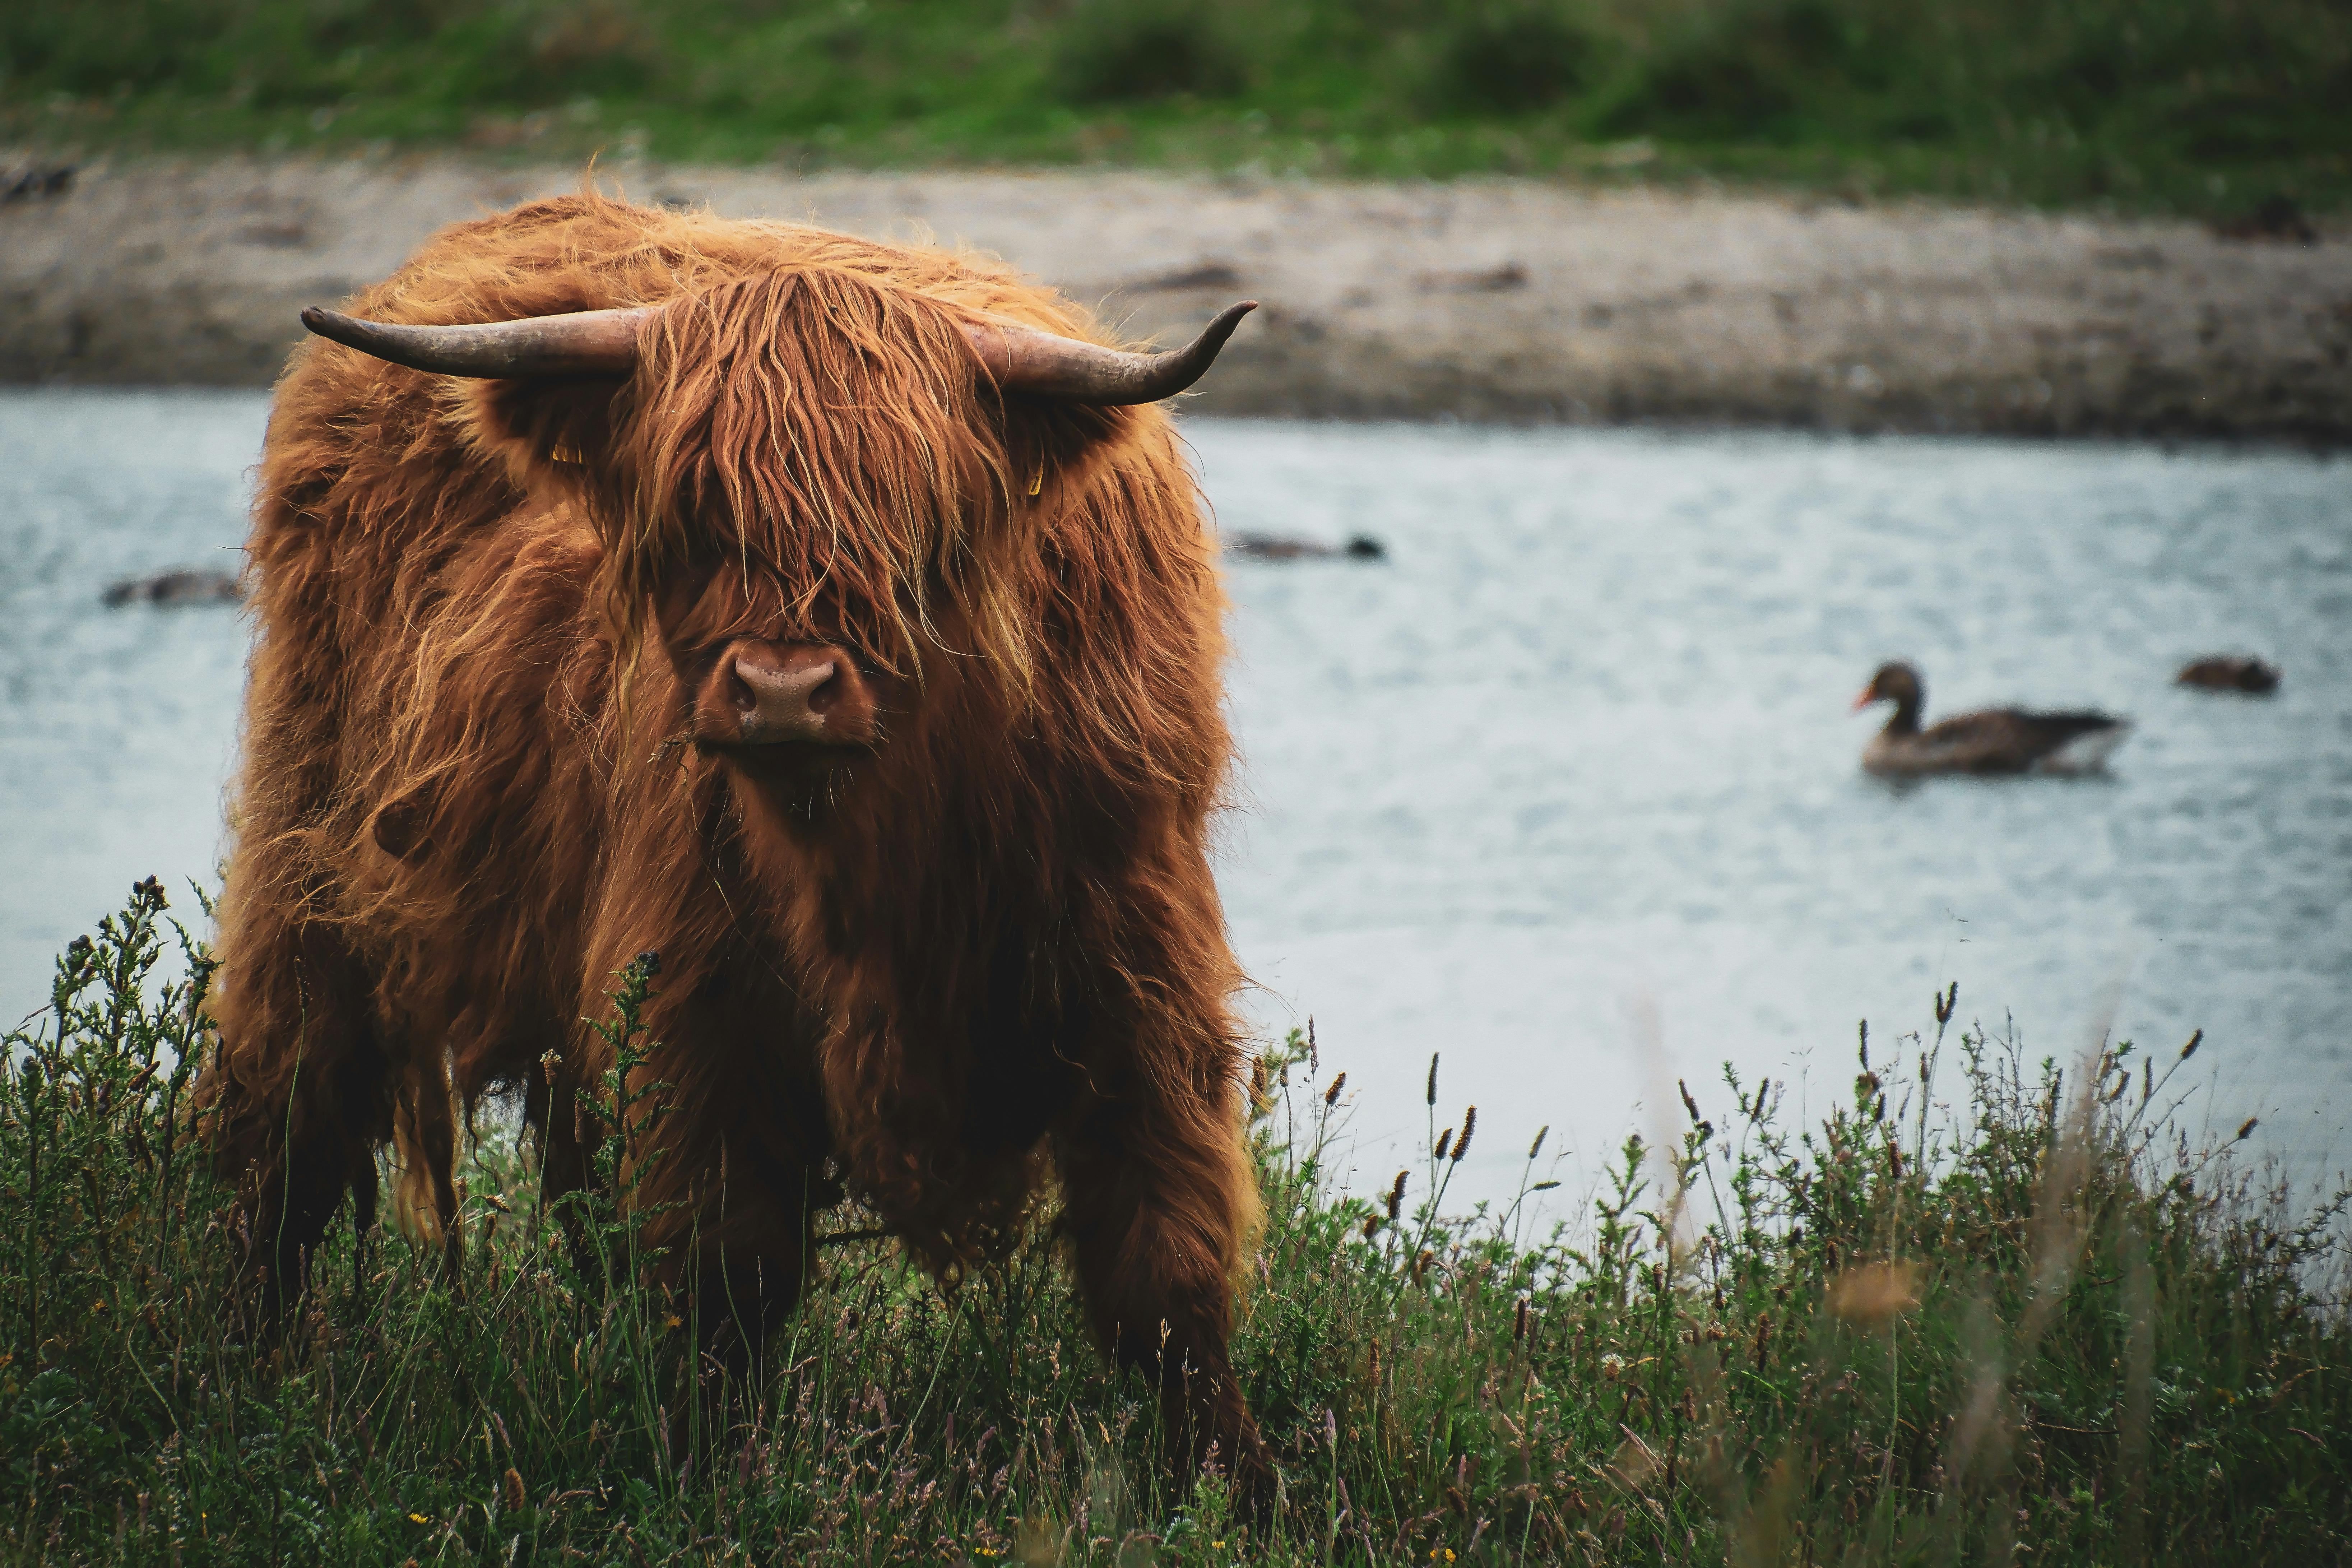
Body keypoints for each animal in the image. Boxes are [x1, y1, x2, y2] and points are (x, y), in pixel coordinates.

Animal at [194, 190, 1271, 1497]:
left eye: (904, 522)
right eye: (693, 518)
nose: (783, 691)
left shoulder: (1139, 984)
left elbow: (1167, 1273)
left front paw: (1234, 1490)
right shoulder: (699, 998)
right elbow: (724, 1278)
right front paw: (709, 1481)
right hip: (307, 862)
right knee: (282, 1127)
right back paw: (239, 1384)